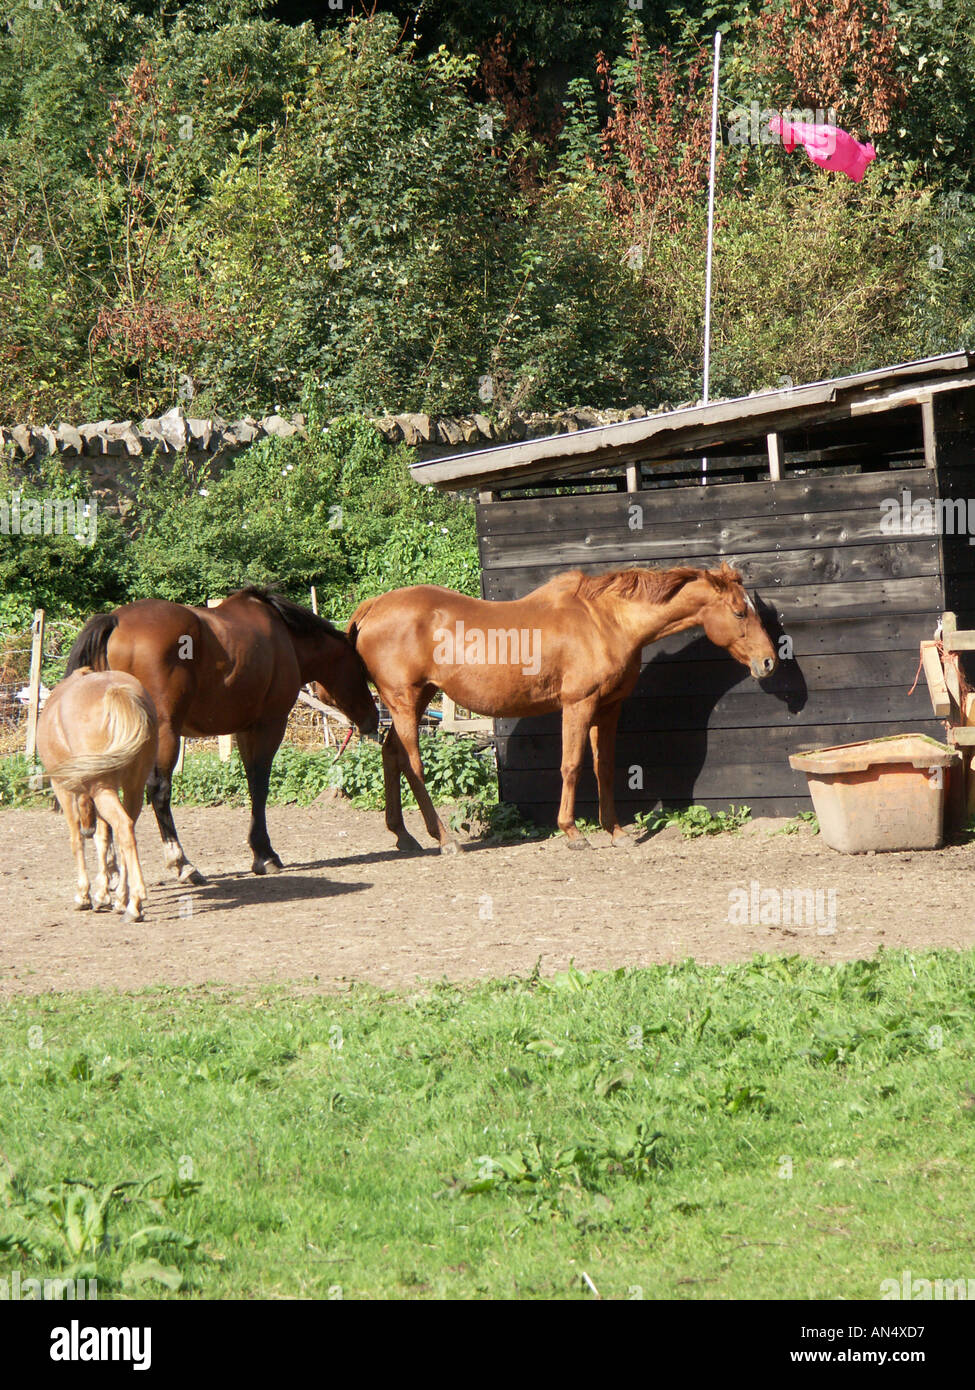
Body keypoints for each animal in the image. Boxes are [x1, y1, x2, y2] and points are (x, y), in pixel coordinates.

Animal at [37, 667, 159, 921]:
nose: (87, 828)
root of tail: (116, 691)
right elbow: (103, 839)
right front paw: (103, 894)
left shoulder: (62, 787)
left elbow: (76, 839)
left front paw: (83, 895)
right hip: (132, 787)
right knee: (125, 831)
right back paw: (123, 900)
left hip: (102, 788)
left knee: (122, 827)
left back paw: (135, 903)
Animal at [66, 588, 379, 881]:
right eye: (362, 668)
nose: (373, 718)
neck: (286, 639)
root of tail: (114, 620)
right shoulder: (269, 725)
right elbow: (260, 784)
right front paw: (265, 855)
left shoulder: (244, 729)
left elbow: (252, 782)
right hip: (164, 734)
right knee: (158, 790)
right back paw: (182, 864)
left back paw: (112, 870)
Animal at [348, 563, 778, 852]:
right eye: (740, 612)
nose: (769, 661)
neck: (608, 622)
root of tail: (373, 606)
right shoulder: (578, 704)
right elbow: (571, 766)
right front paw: (572, 832)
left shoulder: (607, 708)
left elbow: (604, 767)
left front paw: (616, 831)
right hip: (404, 702)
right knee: (412, 765)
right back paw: (444, 838)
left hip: (414, 702)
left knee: (390, 755)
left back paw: (403, 835)